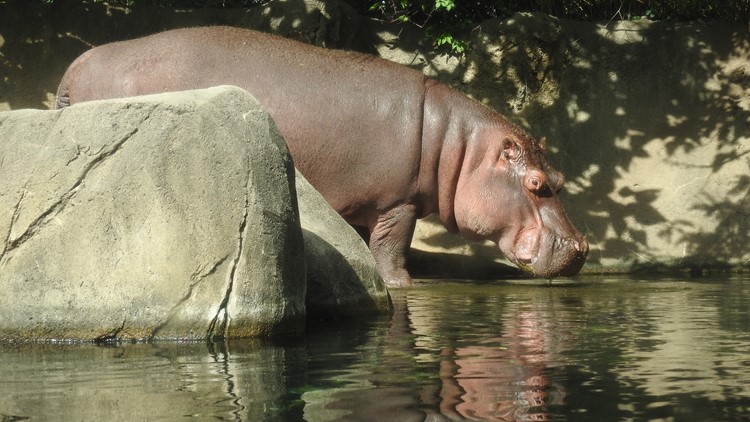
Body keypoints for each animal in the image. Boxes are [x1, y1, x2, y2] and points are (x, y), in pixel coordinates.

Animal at [55, 26, 588, 287]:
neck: (459, 148)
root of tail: (76, 65)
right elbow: (391, 248)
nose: (583, 248)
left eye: (561, 177)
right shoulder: (398, 202)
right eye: (537, 183)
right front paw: (405, 284)